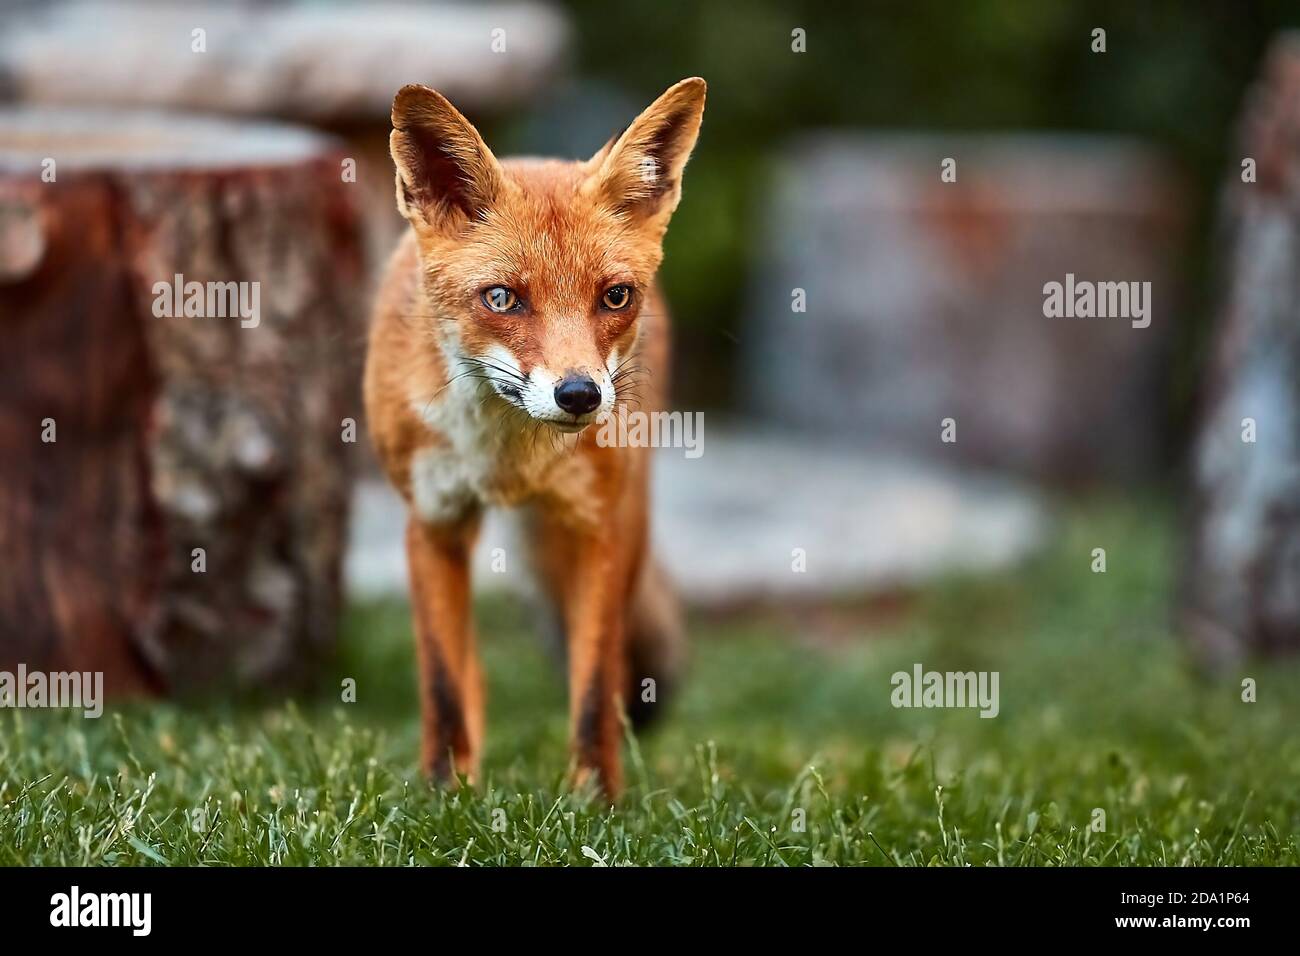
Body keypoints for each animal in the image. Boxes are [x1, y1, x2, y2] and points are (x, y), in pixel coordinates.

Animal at [363, 78, 706, 795]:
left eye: (614, 297)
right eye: (502, 299)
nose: (580, 395)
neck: (507, 455)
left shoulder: (599, 523)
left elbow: (595, 683)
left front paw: (598, 798)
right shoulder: (433, 521)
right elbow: (443, 683)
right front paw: (445, 791)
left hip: (625, 514)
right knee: (473, 675)